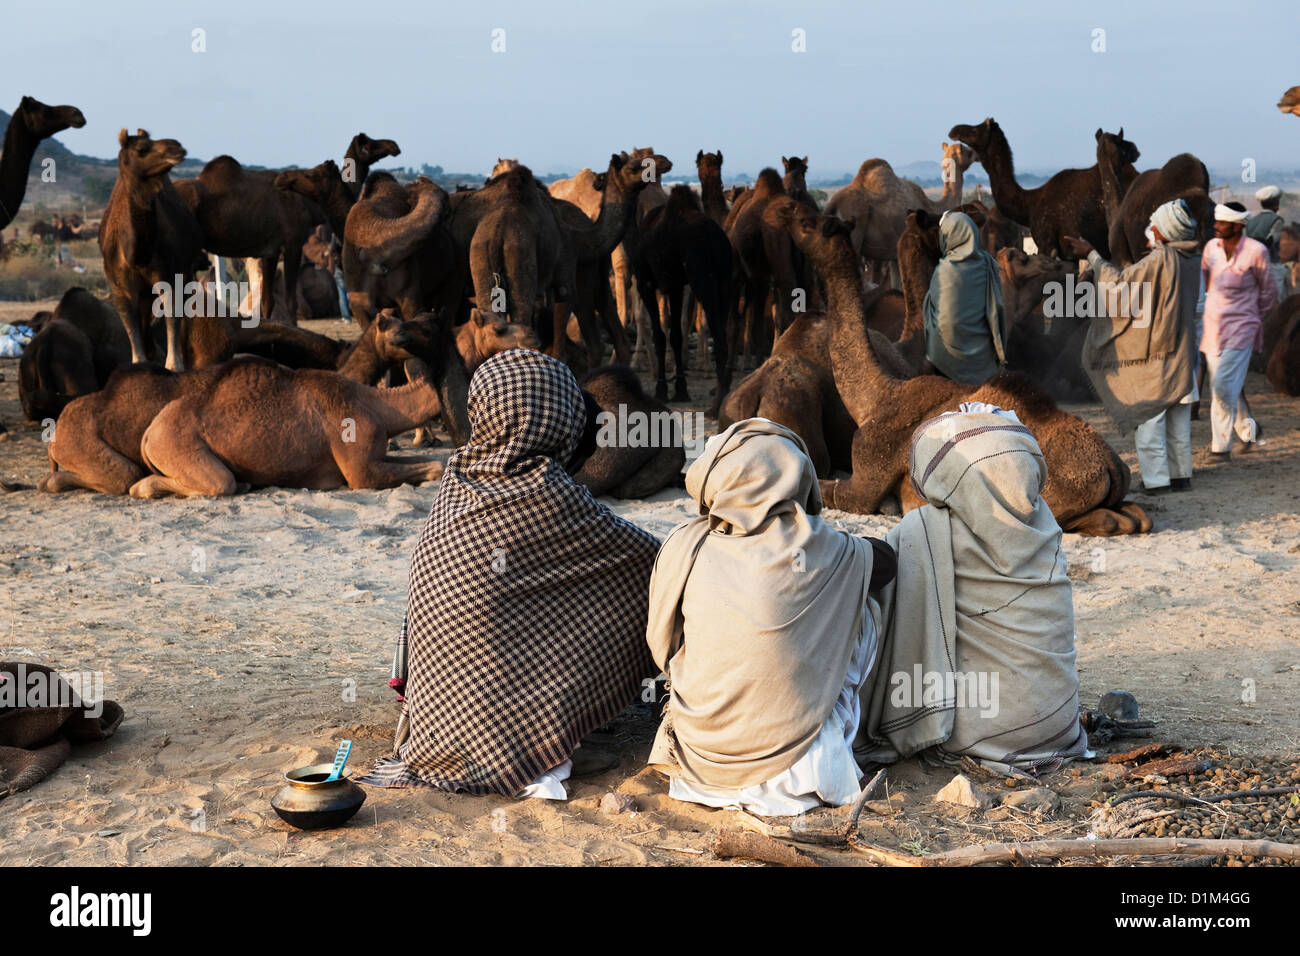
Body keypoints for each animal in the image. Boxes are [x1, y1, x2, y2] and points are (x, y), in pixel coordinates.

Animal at [99, 128, 205, 371]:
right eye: (141, 148)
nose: (176, 147)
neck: (137, 254)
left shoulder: (172, 275)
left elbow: (173, 316)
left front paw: (174, 364)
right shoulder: (118, 284)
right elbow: (131, 325)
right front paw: (142, 361)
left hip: (186, 274)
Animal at [633, 184, 733, 411]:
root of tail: (717, 239)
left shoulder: (646, 283)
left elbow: (660, 335)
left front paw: (661, 389)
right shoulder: (676, 286)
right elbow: (676, 335)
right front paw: (680, 389)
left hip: (704, 281)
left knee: (719, 337)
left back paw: (716, 405)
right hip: (724, 281)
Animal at [776, 204, 1149, 536]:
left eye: (809, 224)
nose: (787, 214)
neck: (877, 396)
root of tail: (1111, 466)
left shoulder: (867, 471)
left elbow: (829, 488)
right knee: (1134, 515)